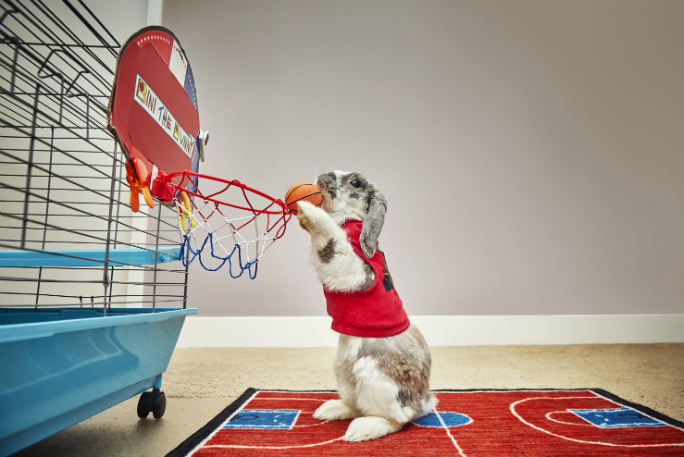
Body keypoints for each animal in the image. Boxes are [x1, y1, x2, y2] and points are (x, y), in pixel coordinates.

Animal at [296, 170, 437, 442]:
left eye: (355, 183)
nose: (321, 177)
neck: (348, 219)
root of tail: (421, 402)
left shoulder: (359, 272)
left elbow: (332, 241)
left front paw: (308, 210)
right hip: (343, 369)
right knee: (356, 404)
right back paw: (330, 410)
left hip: (375, 375)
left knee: (395, 419)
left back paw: (361, 430)